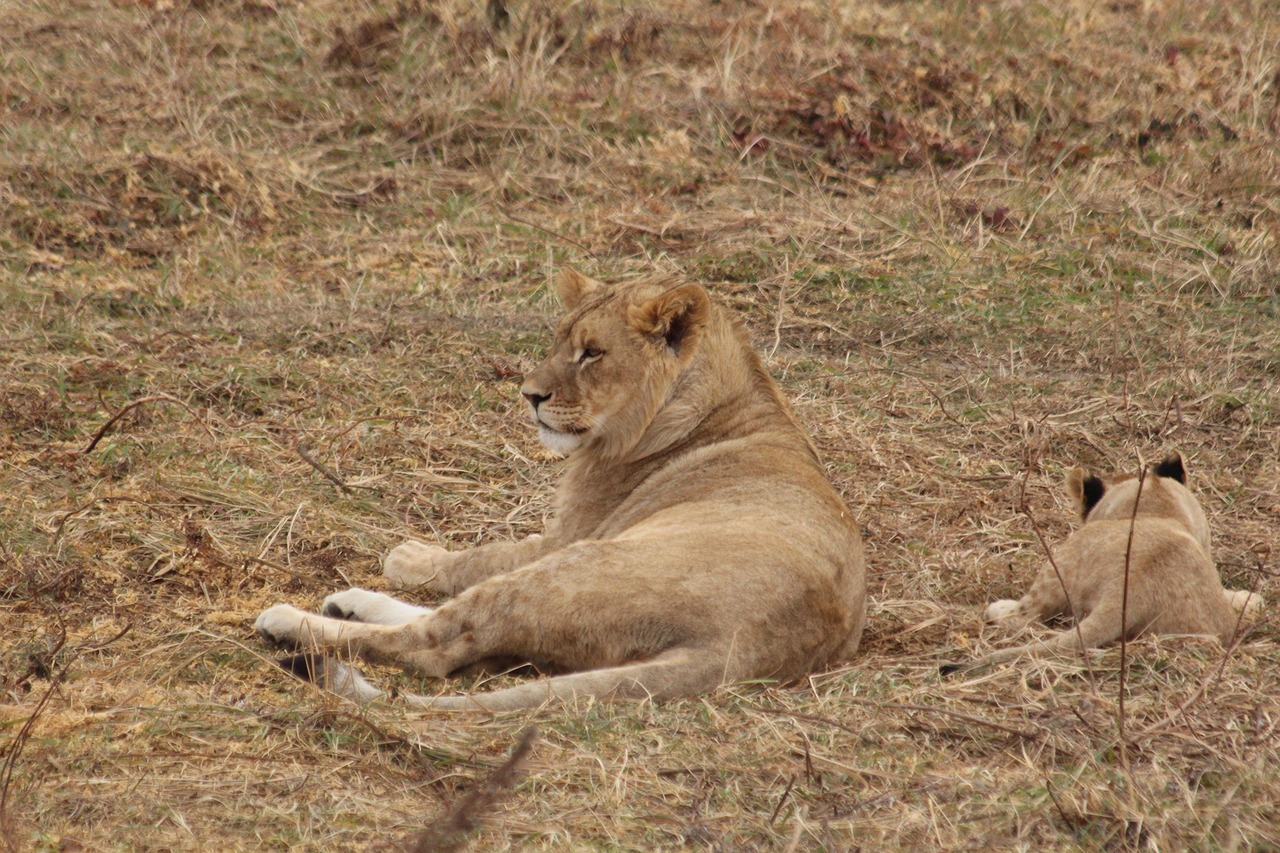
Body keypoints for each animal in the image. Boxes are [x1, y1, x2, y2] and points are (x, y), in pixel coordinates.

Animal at [255, 270, 867, 711]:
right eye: (556, 343)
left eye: (592, 352)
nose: (529, 395)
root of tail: (738, 651)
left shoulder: (570, 531)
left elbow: (481, 557)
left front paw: (409, 556)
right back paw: (350, 601)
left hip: (583, 561)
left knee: (437, 643)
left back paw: (289, 623)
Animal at [942, 454, 1264, 675]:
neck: (1156, 509)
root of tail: (1132, 590)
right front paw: (1250, 599)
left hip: (1060, 562)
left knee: (1027, 616)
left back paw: (997, 610)